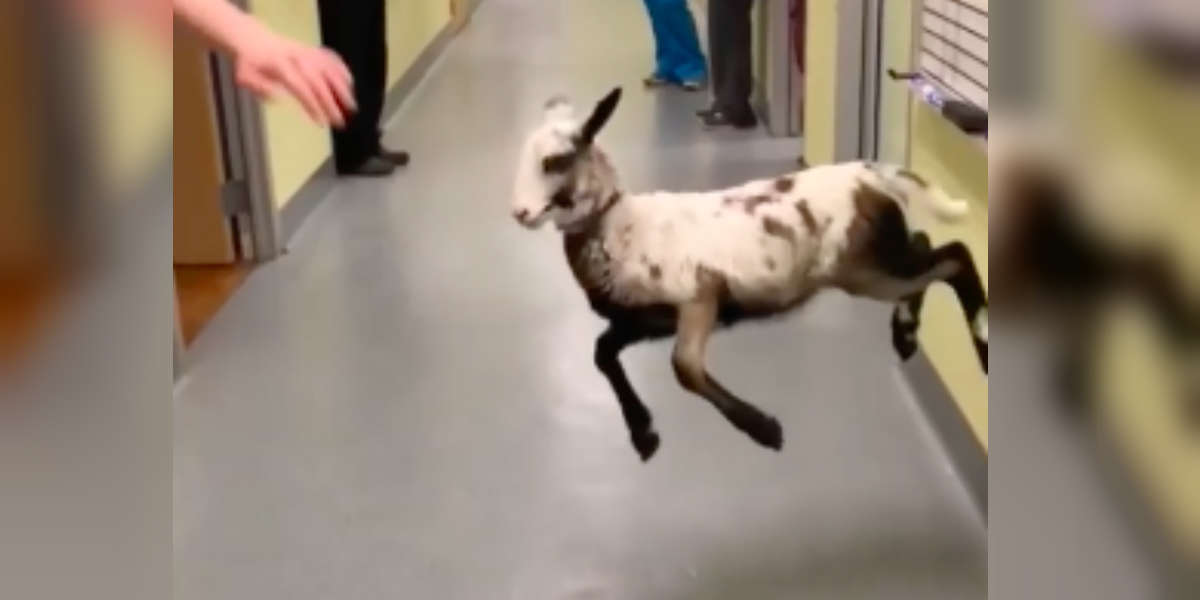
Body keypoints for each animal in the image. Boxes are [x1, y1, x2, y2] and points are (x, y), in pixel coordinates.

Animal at [511, 87, 988, 461]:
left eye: (556, 161)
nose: (520, 213)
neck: (622, 225)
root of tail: (871, 174)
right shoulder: (644, 319)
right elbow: (602, 353)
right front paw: (644, 436)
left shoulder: (698, 297)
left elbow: (684, 367)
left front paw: (766, 430)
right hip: (874, 263)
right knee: (927, 244)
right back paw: (905, 336)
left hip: (864, 268)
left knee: (955, 254)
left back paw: (977, 346)